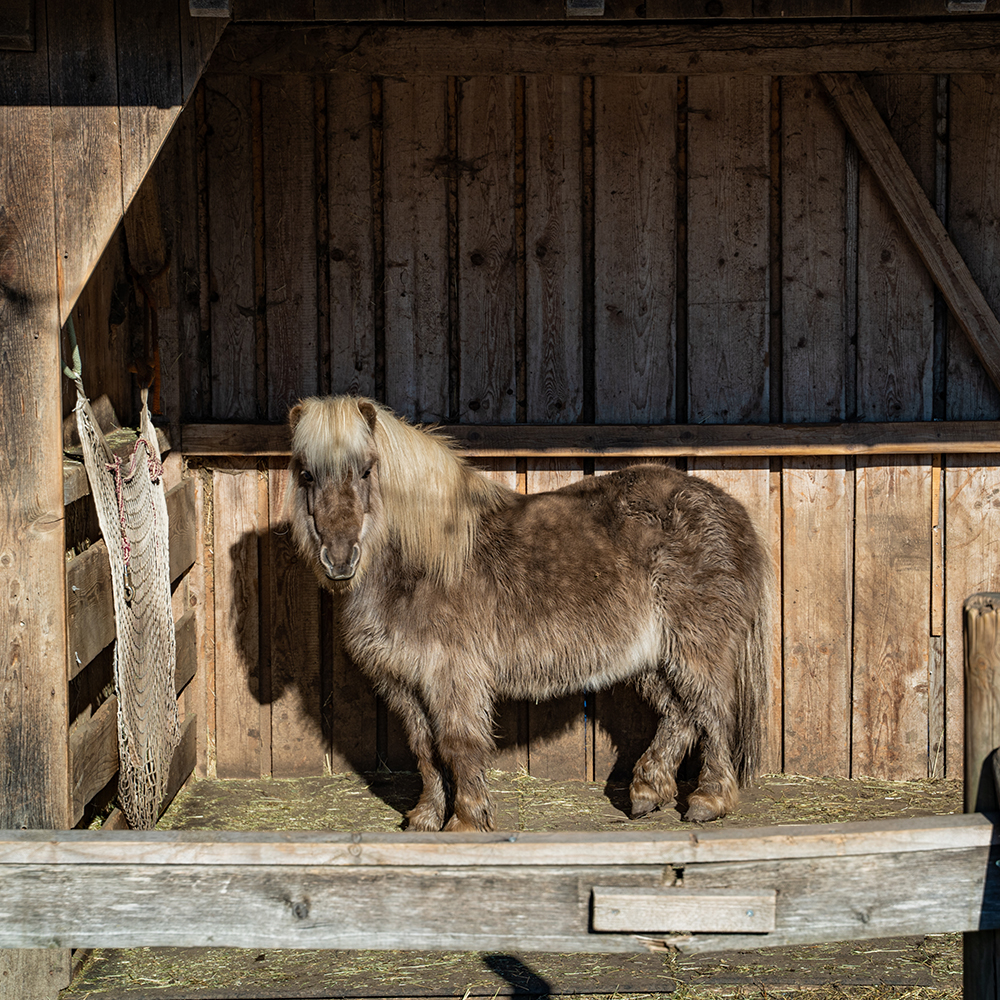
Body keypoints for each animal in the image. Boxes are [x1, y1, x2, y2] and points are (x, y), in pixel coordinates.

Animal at [285, 395, 772, 833]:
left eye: (367, 469)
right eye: (306, 474)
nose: (340, 559)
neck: (424, 559)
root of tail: (733, 510)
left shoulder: (451, 675)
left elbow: (457, 745)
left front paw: (466, 821)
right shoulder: (404, 680)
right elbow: (424, 749)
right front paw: (425, 818)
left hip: (696, 647)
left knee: (713, 711)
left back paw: (708, 800)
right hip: (654, 657)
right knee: (681, 714)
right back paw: (646, 793)